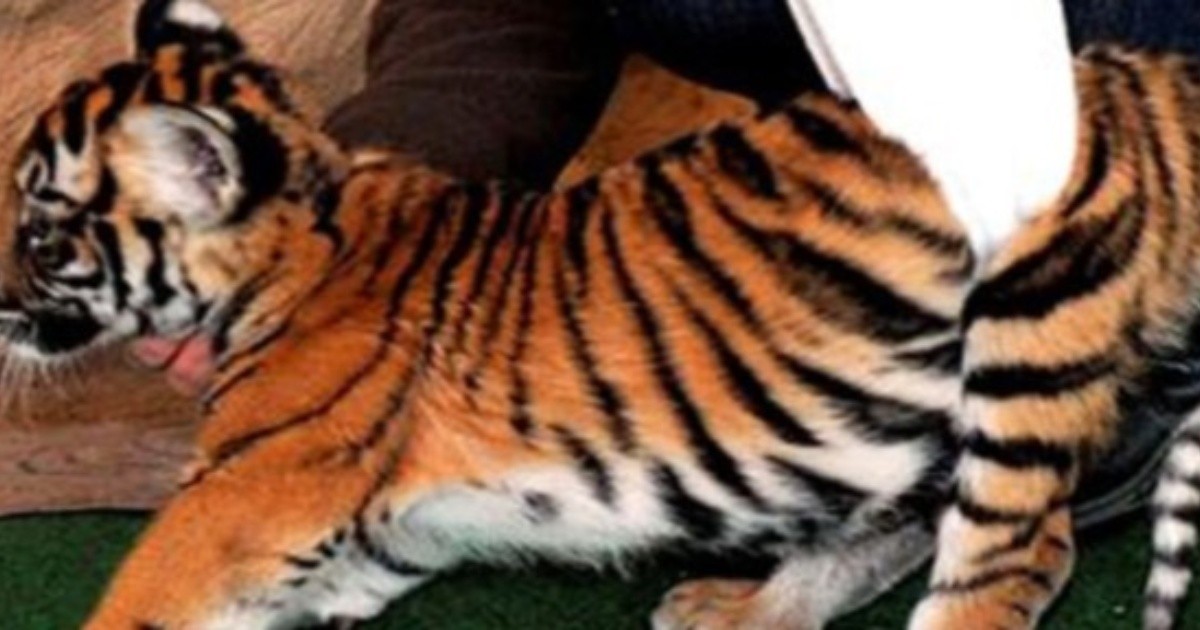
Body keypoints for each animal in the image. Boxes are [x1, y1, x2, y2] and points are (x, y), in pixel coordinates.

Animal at [0, 1, 1194, 630]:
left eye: (45, 235)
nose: (3, 308)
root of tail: (1131, 77)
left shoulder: (247, 497)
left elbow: (141, 596)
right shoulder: (381, 536)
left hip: (1019, 363)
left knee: (1027, 551)